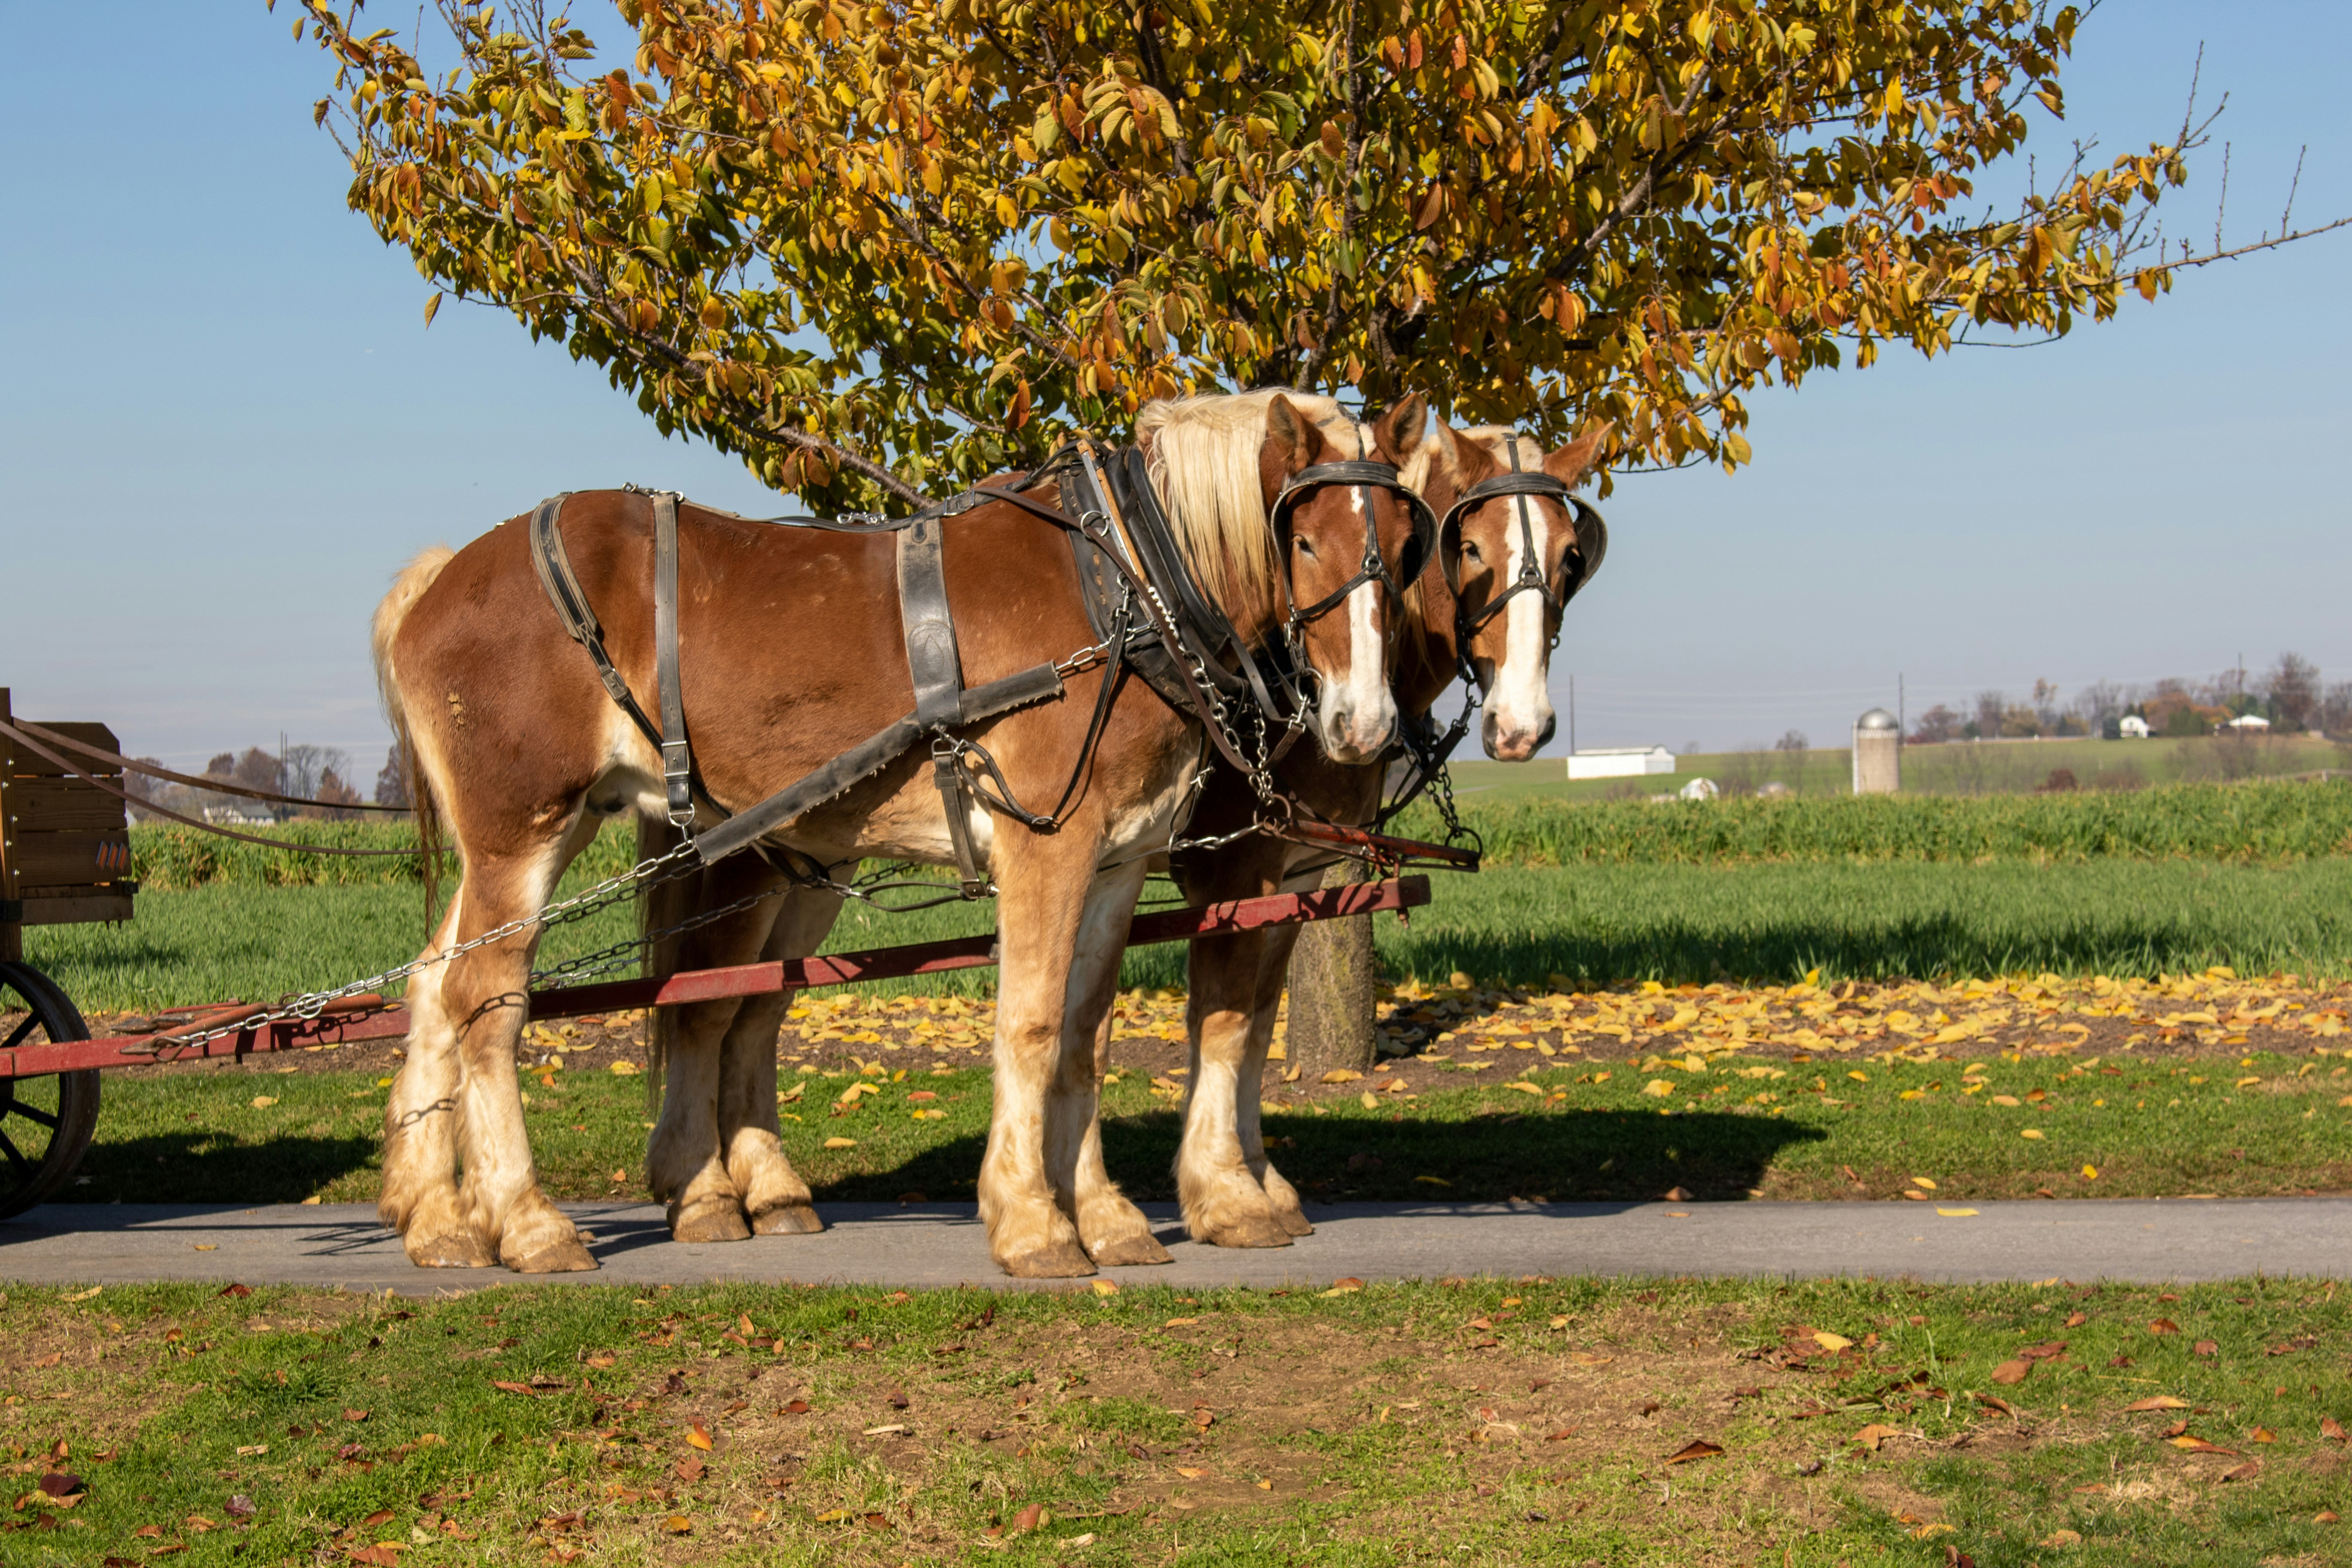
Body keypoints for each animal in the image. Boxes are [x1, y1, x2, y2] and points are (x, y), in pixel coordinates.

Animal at [369, 390, 1434, 1277]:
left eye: (1403, 544)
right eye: (1304, 541)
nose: (1363, 723)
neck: (1121, 583)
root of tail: (440, 579)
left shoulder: (1118, 861)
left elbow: (1084, 1033)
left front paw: (1104, 1215)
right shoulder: (1048, 845)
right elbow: (1034, 1022)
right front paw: (1035, 1222)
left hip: (516, 849)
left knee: (431, 983)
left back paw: (440, 1217)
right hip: (527, 834)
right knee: (487, 1000)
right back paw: (529, 1221)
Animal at [1161, 420, 1612, 1247]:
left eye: (1572, 554)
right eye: (1468, 548)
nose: (1522, 726)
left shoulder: (1294, 878)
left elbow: (1255, 1027)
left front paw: (1257, 1179)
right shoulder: (1232, 876)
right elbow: (1221, 1021)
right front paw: (1223, 1192)